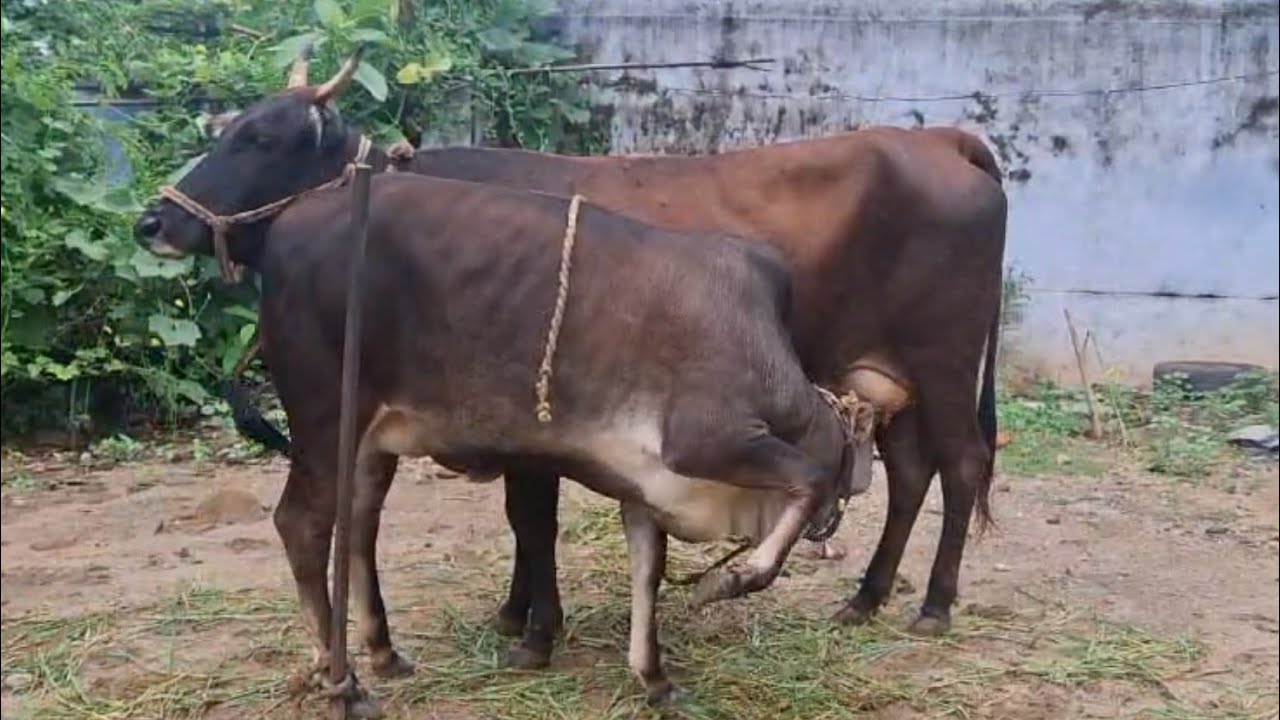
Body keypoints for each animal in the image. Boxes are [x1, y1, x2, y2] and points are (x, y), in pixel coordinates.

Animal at [132, 48, 870, 711]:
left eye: (258, 138)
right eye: (232, 131)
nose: (152, 223)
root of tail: (303, 220)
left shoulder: (633, 484)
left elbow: (643, 570)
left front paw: (650, 675)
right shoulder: (700, 440)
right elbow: (794, 482)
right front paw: (555, 630)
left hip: (363, 433)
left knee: (355, 519)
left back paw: (378, 652)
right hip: (324, 418)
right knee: (304, 524)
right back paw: (344, 682)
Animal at [224, 47, 1010, 671]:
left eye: (261, 136)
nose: (181, 225)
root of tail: (945, 138)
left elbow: (530, 519)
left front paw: (534, 630)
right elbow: (525, 519)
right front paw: (520, 615)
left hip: (943, 363)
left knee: (962, 463)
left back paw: (934, 603)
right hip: (890, 378)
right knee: (911, 472)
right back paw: (867, 596)